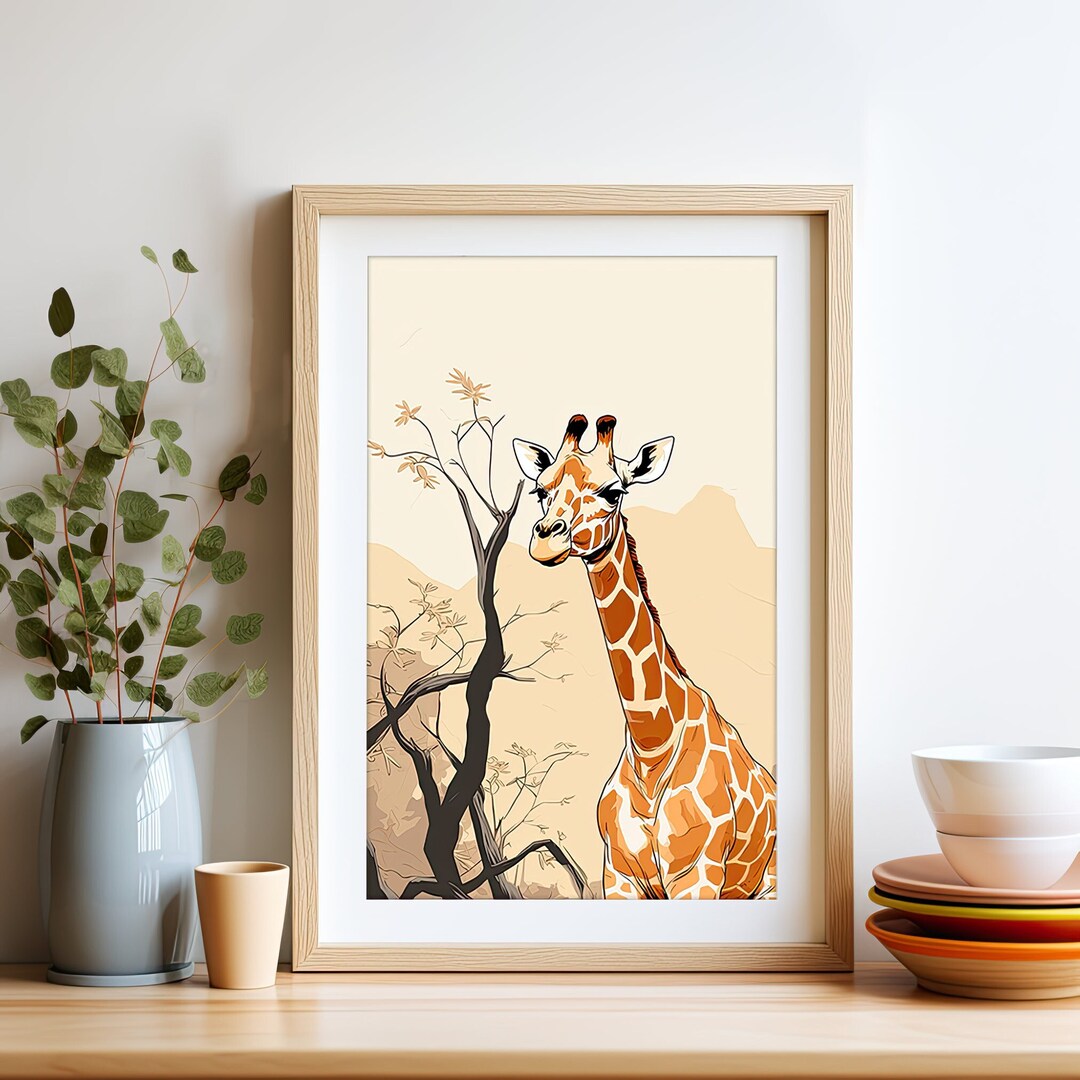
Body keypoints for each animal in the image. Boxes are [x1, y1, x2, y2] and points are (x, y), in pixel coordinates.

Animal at [513, 415, 777, 900]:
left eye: (614, 491)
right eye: (540, 490)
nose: (545, 542)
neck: (650, 745)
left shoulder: (698, 875)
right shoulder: (618, 874)